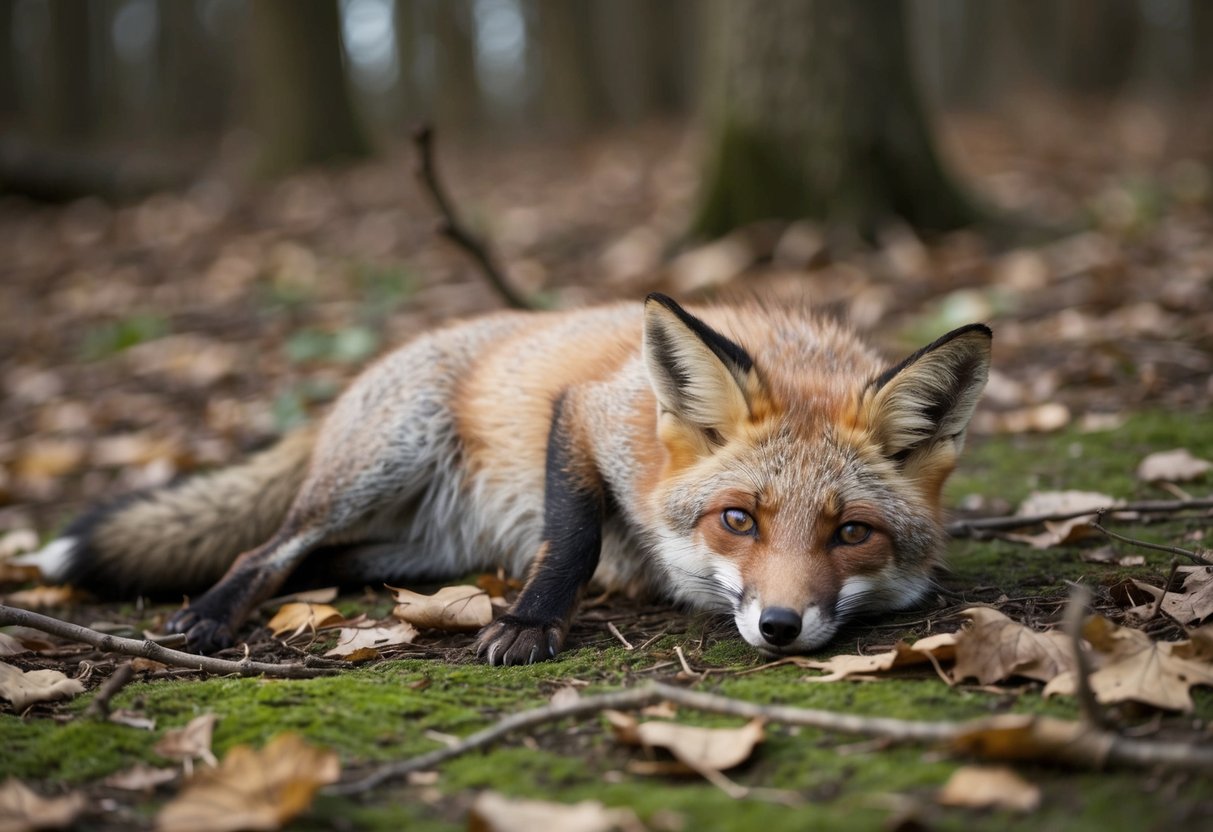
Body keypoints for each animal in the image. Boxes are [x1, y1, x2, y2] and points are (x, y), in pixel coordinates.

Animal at [25, 294, 990, 665]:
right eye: (738, 519)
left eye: (850, 532)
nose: (781, 627)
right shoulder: (589, 414)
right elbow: (571, 537)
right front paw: (529, 623)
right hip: (379, 463)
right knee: (268, 548)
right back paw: (212, 614)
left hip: (414, 549)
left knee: (318, 563)